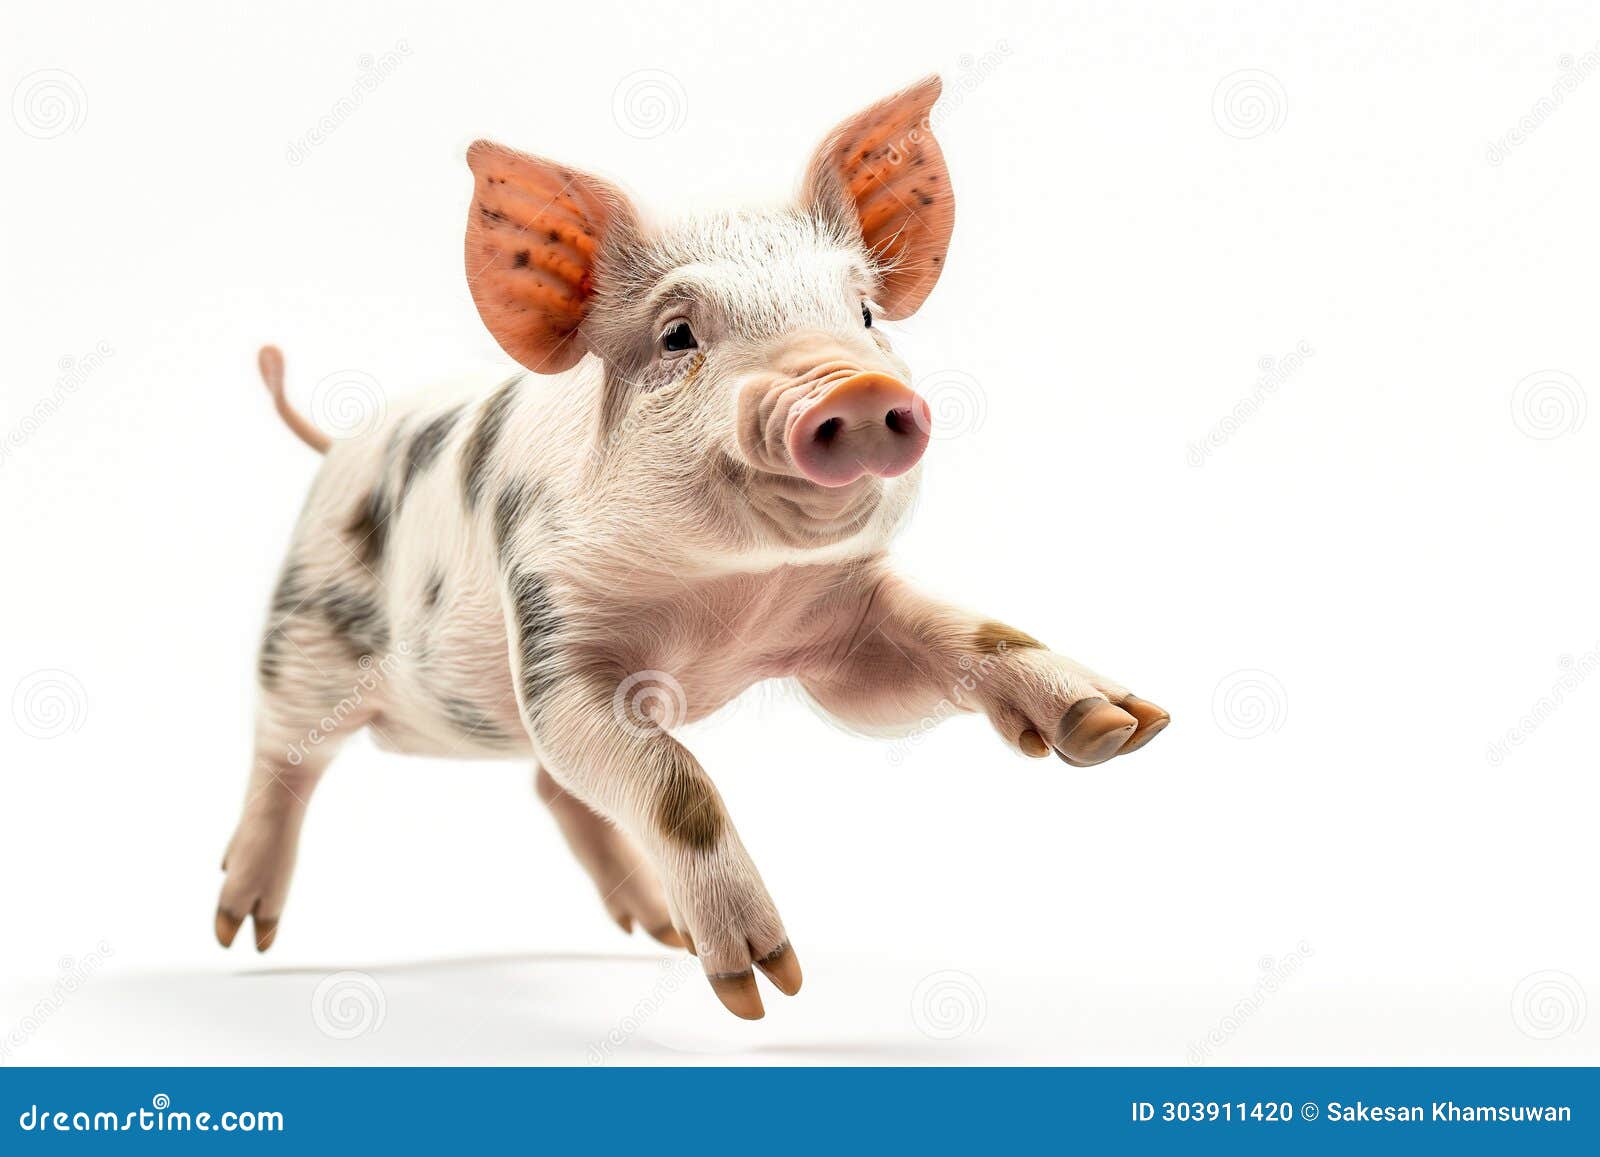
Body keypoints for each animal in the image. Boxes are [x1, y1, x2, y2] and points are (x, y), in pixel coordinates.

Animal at [217, 76, 1169, 1020]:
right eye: (679, 335)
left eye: (863, 312)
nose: (854, 386)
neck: (725, 599)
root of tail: (338, 446)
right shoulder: (555, 633)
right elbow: (670, 781)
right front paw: (767, 986)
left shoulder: (844, 630)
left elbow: (959, 643)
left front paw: (1120, 726)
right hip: (305, 627)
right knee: (285, 753)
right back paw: (241, 930)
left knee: (550, 784)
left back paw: (654, 929)